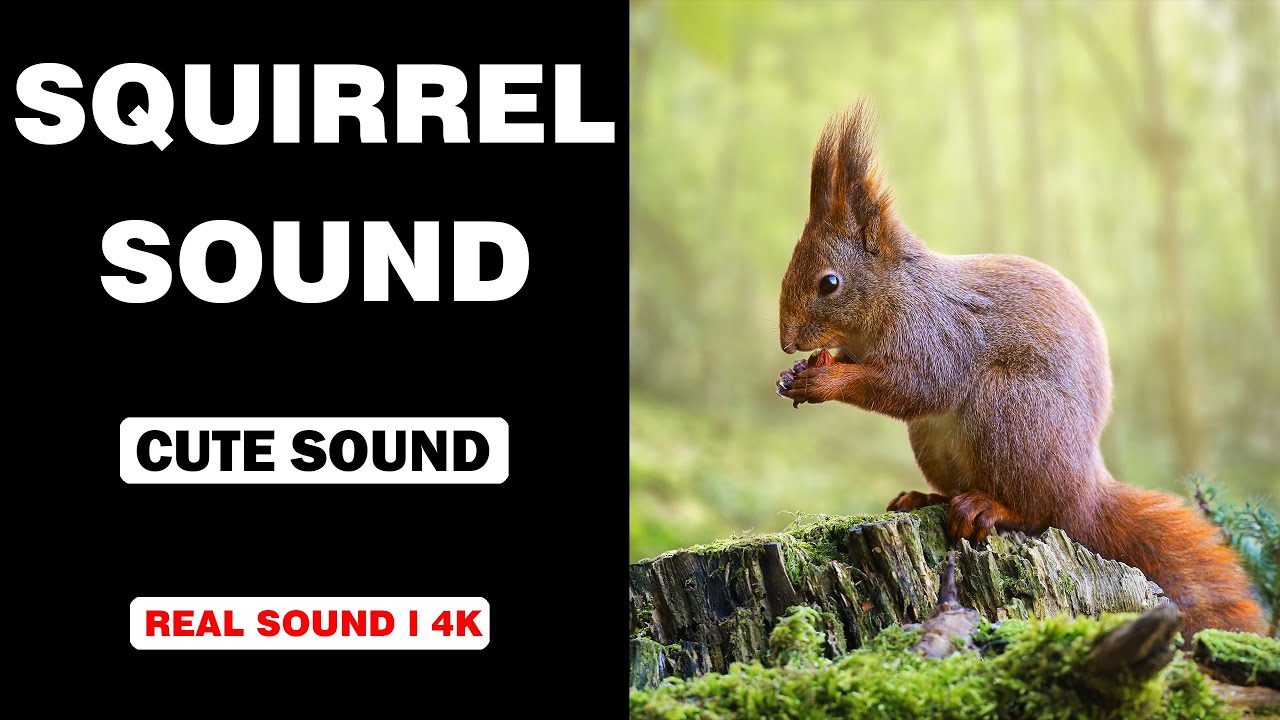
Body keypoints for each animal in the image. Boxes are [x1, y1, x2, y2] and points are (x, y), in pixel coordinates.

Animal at [775, 100, 1265, 637]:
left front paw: (823, 380)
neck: (892, 294)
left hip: (1012, 413)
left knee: (1039, 513)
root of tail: (1086, 492)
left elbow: (919, 387)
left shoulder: (938, 334)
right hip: (938, 440)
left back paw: (988, 506)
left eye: (829, 283)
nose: (786, 342)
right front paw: (793, 376)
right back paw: (925, 499)